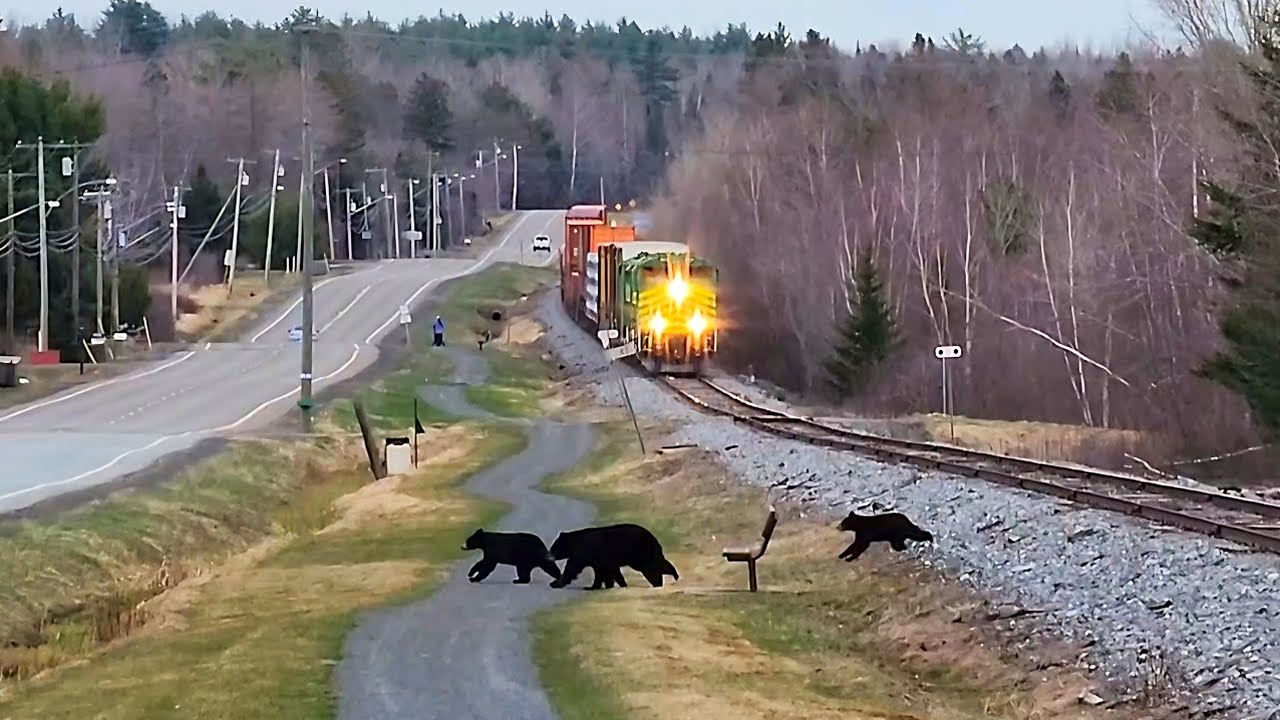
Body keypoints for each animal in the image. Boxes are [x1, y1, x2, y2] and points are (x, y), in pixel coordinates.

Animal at [548, 523, 679, 589]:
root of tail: (654, 538)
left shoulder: (584, 553)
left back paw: (660, 582)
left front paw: (555, 583)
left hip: (641, 554)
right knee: (658, 564)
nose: (548, 555)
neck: (575, 543)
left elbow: (572, 567)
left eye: (554, 546)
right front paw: (613, 585)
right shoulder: (600, 560)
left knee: (651, 568)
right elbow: (604, 572)